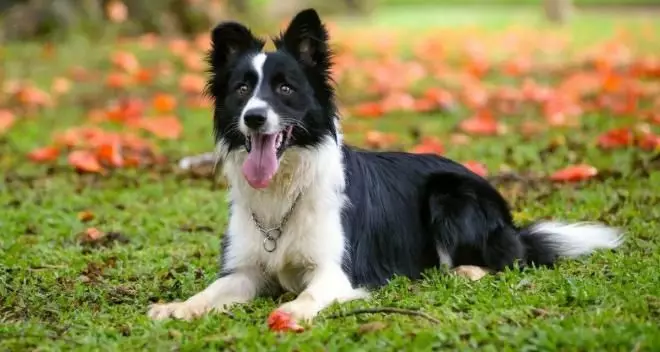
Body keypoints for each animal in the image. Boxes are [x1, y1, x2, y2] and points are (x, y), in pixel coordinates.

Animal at [148, 8, 624, 324]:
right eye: (243, 89)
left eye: (285, 88)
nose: (254, 118)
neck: (286, 186)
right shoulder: (246, 270)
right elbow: (210, 291)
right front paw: (177, 307)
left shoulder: (337, 271)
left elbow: (308, 296)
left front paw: (291, 312)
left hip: (450, 196)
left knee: (506, 260)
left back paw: (466, 270)